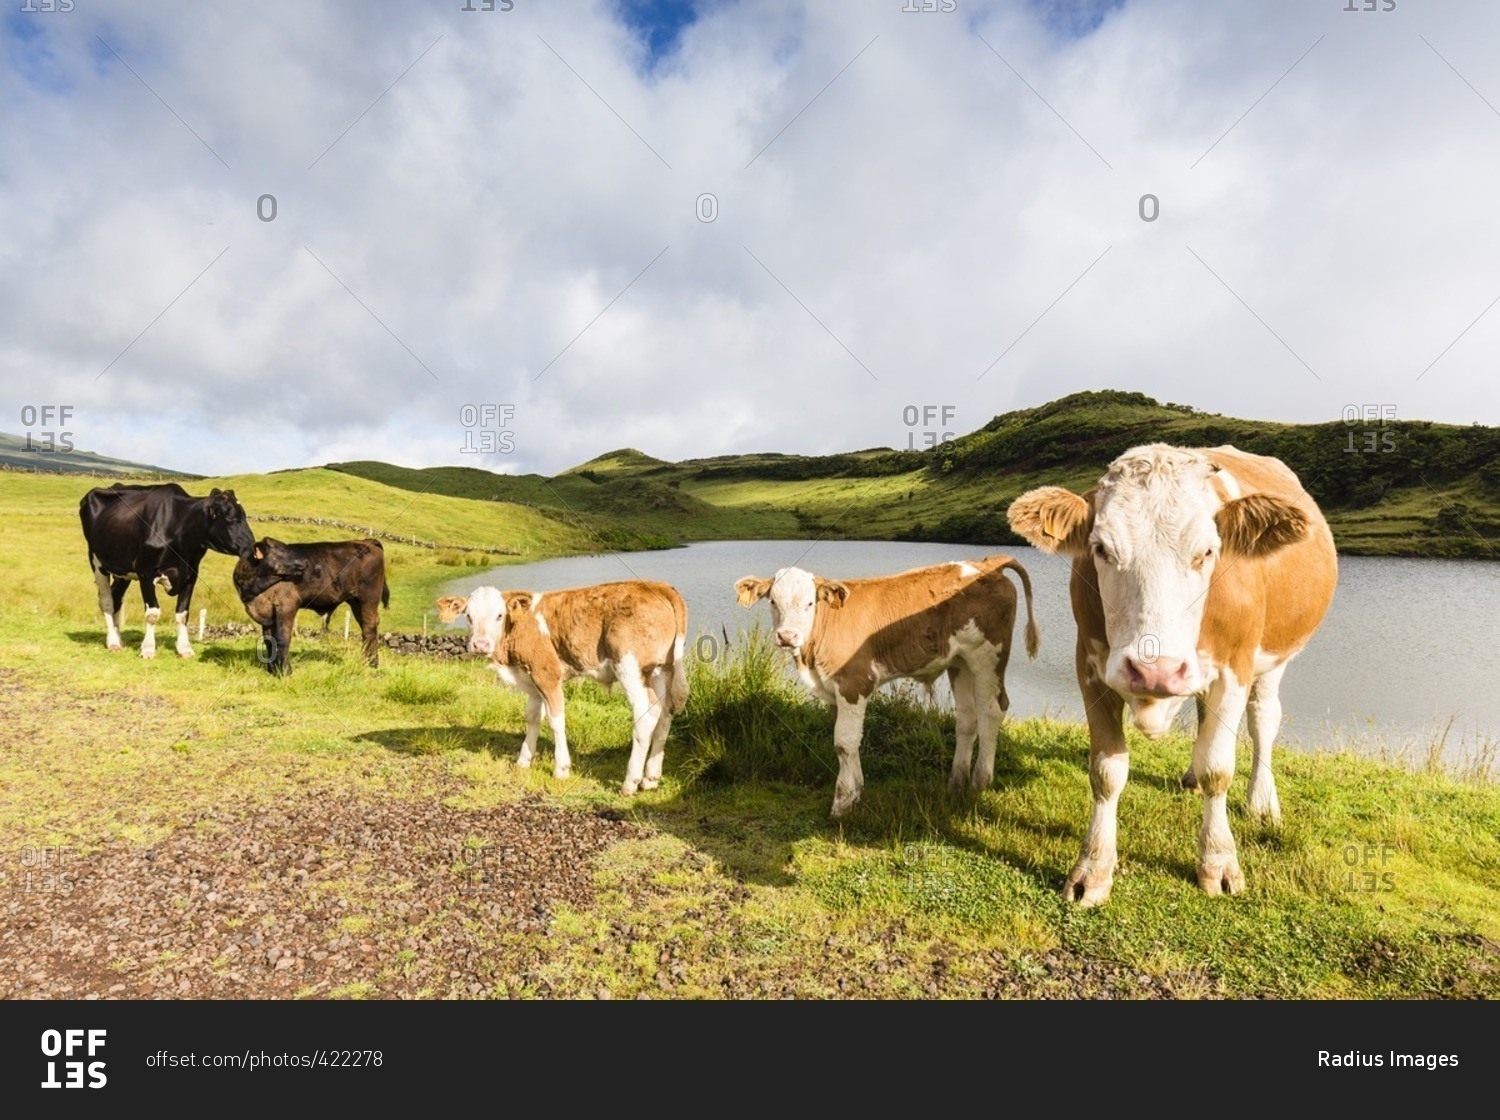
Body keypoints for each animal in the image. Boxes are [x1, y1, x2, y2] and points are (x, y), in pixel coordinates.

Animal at [79, 483, 256, 659]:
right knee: (107, 601)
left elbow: (182, 614)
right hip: (96, 561)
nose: (252, 548)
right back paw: (113, 642)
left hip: (122, 570)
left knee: (116, 598)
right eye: (231, 519)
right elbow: (152, 613)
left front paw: (185, 649)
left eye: (245, 516)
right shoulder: (146, 572)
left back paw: (117, 638)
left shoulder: (191, 574)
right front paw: (148, 649)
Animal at [233, 537, 389, 674]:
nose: (305, 561)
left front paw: (285, 671)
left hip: (368, 599)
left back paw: (372, 664)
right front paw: (272, 670)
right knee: (365, 629)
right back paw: (365, 662)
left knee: (369, 628)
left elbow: (283, 639)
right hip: (356, 602)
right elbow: (269, 641)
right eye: (281, 550)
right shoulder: (267, 613)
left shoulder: (287, 605)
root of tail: (366, 541)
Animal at [436, 582, 688, 795]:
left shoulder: (546, 674)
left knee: (646, 714)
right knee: (664, 714)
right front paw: (524, 760)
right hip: (661, 670)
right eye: (468, 616)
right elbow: (532, 717)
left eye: (499, 615)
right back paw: (650, 778)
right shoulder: (531, 678)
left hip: (630, 667)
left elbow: (555, 721)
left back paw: (630, 783)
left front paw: (561, 769)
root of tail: (658, 585)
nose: (480, 645)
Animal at [734, 556, 1039, 818]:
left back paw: (979, 782)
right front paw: (856, 792)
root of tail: (987, 563)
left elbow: (844, 742)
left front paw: (842, 803)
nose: (787, 636)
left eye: (810, 603)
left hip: (988, 656)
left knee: (992, 711)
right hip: (960, 662)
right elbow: (847, 742)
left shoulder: (854, 682)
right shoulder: (834, 691)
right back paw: (956, 783)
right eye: (773, 601)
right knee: (967, 718)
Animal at [1008, 444, 1338, 905]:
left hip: (1276, 657)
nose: (1155, 670)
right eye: (1101, 549)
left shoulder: (1233, 669)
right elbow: (1106, 772)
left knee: (1263, 719)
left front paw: (1218, 862)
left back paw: (1261, 801)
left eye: (1207, 551)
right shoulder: (1089, 666)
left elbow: (1218, 768)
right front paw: (1093, 869)